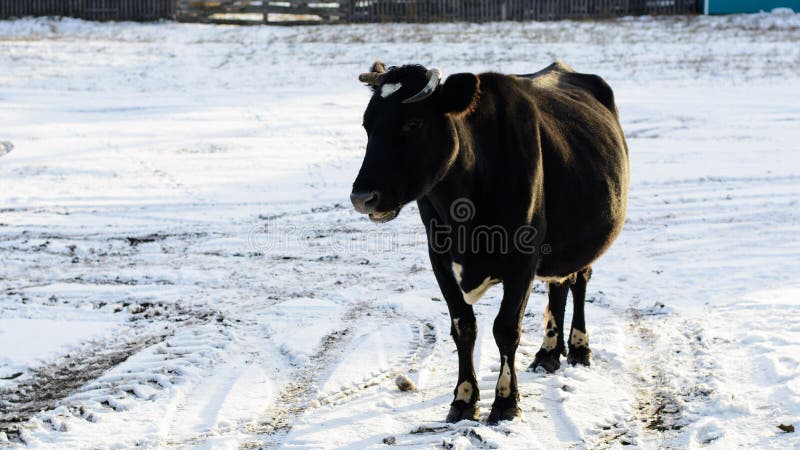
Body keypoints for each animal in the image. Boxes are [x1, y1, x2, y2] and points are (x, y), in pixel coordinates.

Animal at [350, 60, 629, 424]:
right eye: (367, 125)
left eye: (413, 122)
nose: (362, 197)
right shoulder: (439, 258)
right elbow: (463, 327)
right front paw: (464, 399)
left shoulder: (523, 259)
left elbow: (506, 329)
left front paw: (506, 401)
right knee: (558, 285)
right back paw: (548, 353)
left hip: (586, 240)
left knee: (579, 281)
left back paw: (579, 348)